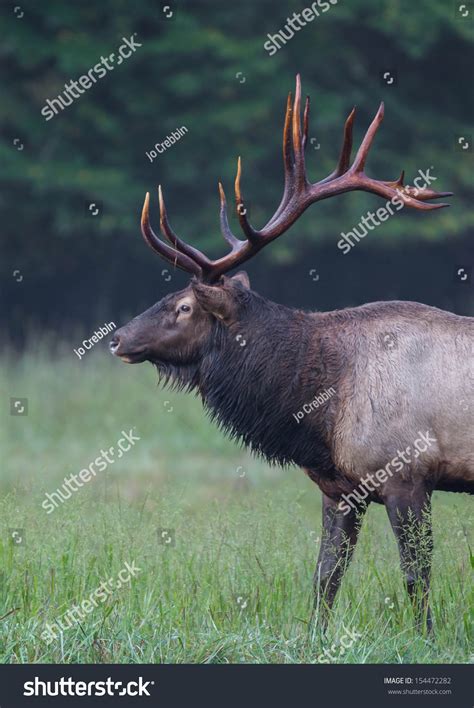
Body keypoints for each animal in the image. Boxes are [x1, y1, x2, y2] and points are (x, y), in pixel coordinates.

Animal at [110, 76, 473, 632]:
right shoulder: (339, 488)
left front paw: (427, 641)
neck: (320, 411)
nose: (116, 339)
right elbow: (325, 580)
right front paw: (313, 639)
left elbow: (416, 581)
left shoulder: (409, 475)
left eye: (184, 306)